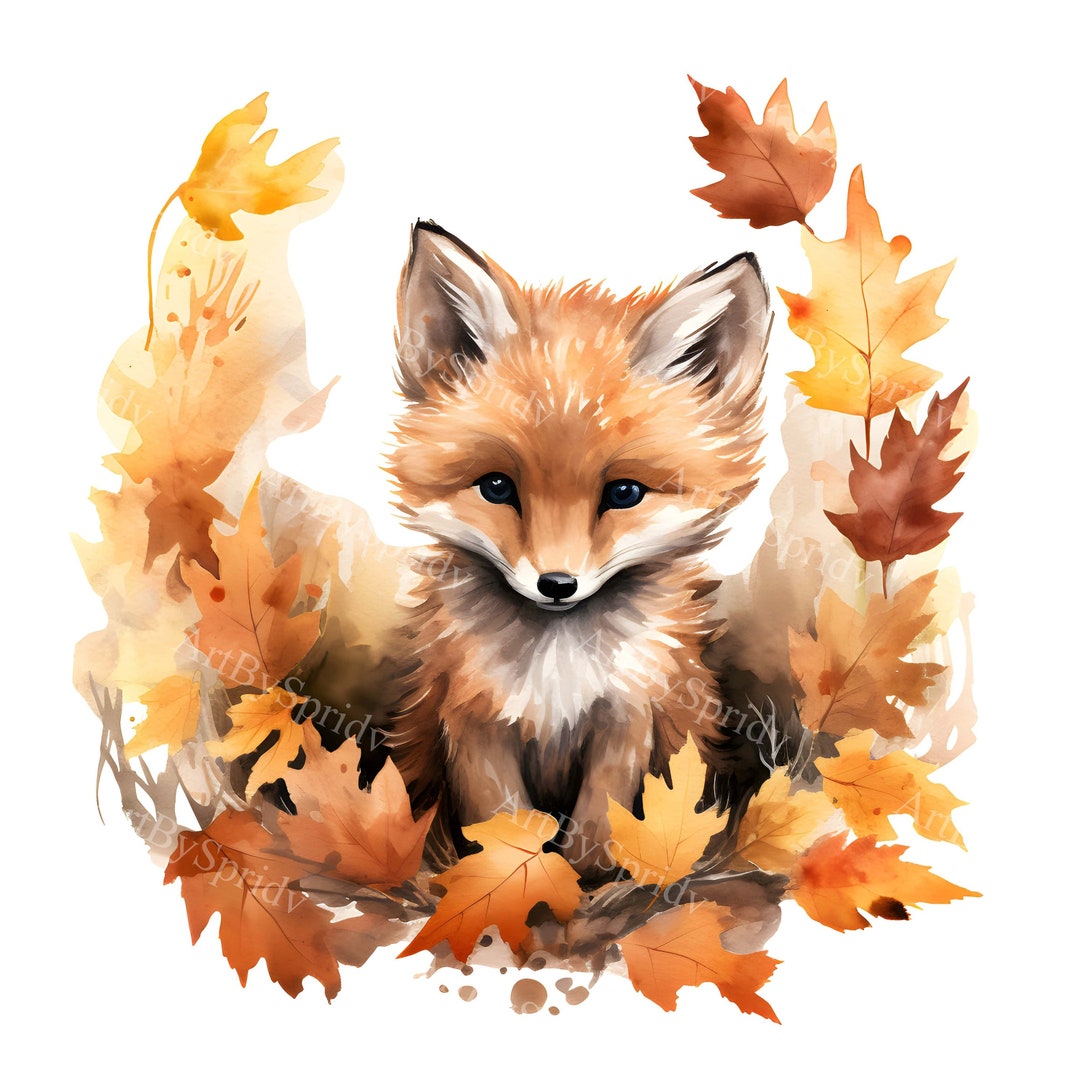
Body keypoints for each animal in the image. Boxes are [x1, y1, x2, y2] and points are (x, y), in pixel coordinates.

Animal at [382, 221, 772, 875]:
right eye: (496, 487)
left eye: (624, 492)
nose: (556, 584)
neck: (556, 666)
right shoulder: (472, 717)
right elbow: (502, 824)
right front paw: (519, 881)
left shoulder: (628, 718)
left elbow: (598, 828)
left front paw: (588, 881)